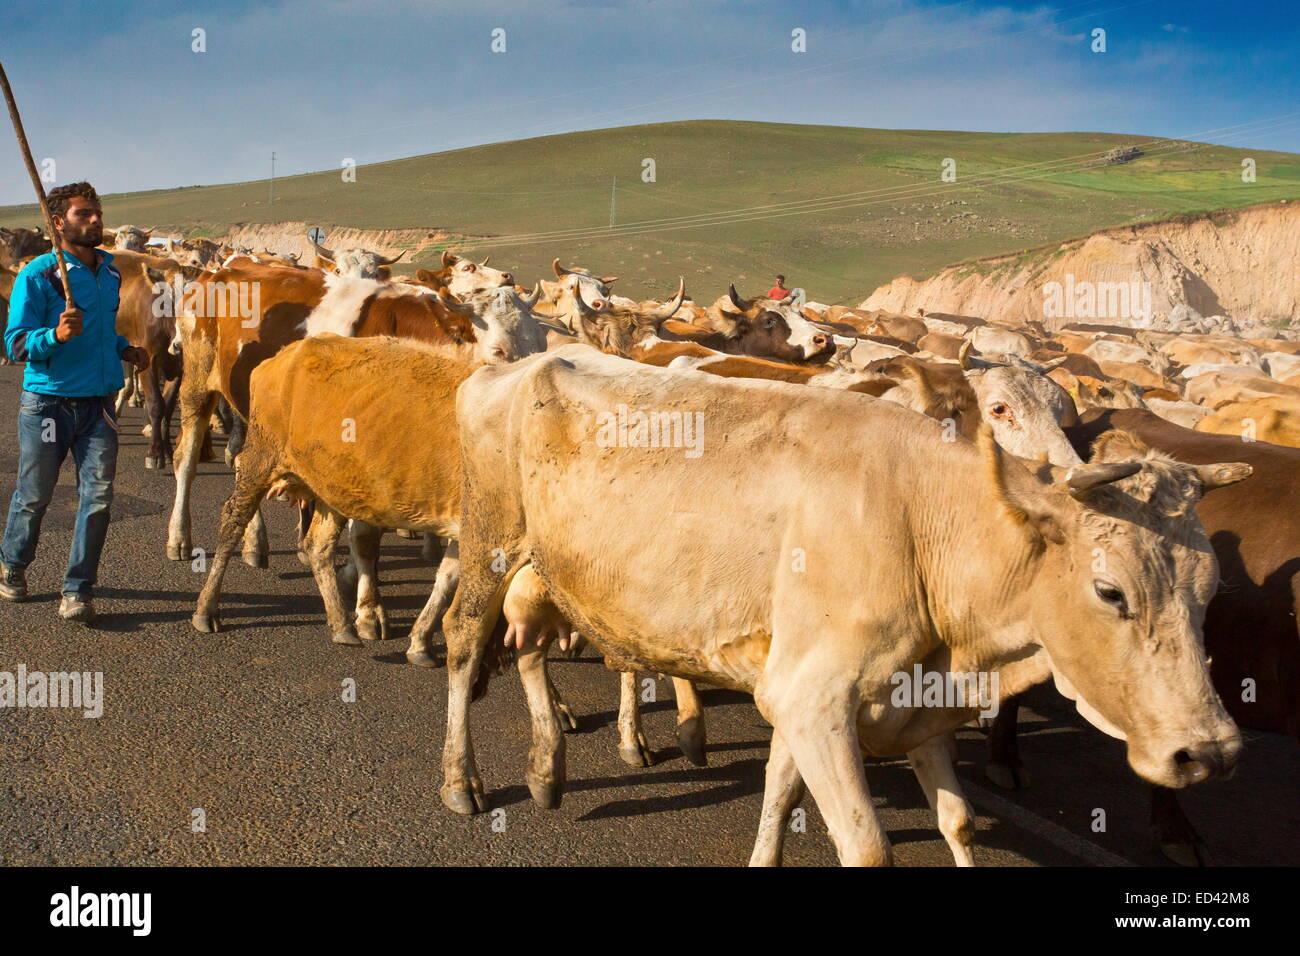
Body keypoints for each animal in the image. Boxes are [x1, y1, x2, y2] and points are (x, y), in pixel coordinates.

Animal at [439, 346, 1245, 867]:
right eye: (1111, 591)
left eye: (1210, 592)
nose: (1209, 752)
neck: (923, 518)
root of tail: (516, 363)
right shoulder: (814, 696)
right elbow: (865, 846)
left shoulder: (863, 693)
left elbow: (943, 818)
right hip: (489, 539)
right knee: (464, 638)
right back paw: (462, 781)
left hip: (550, 570)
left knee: (531, 646)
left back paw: (548, 768)